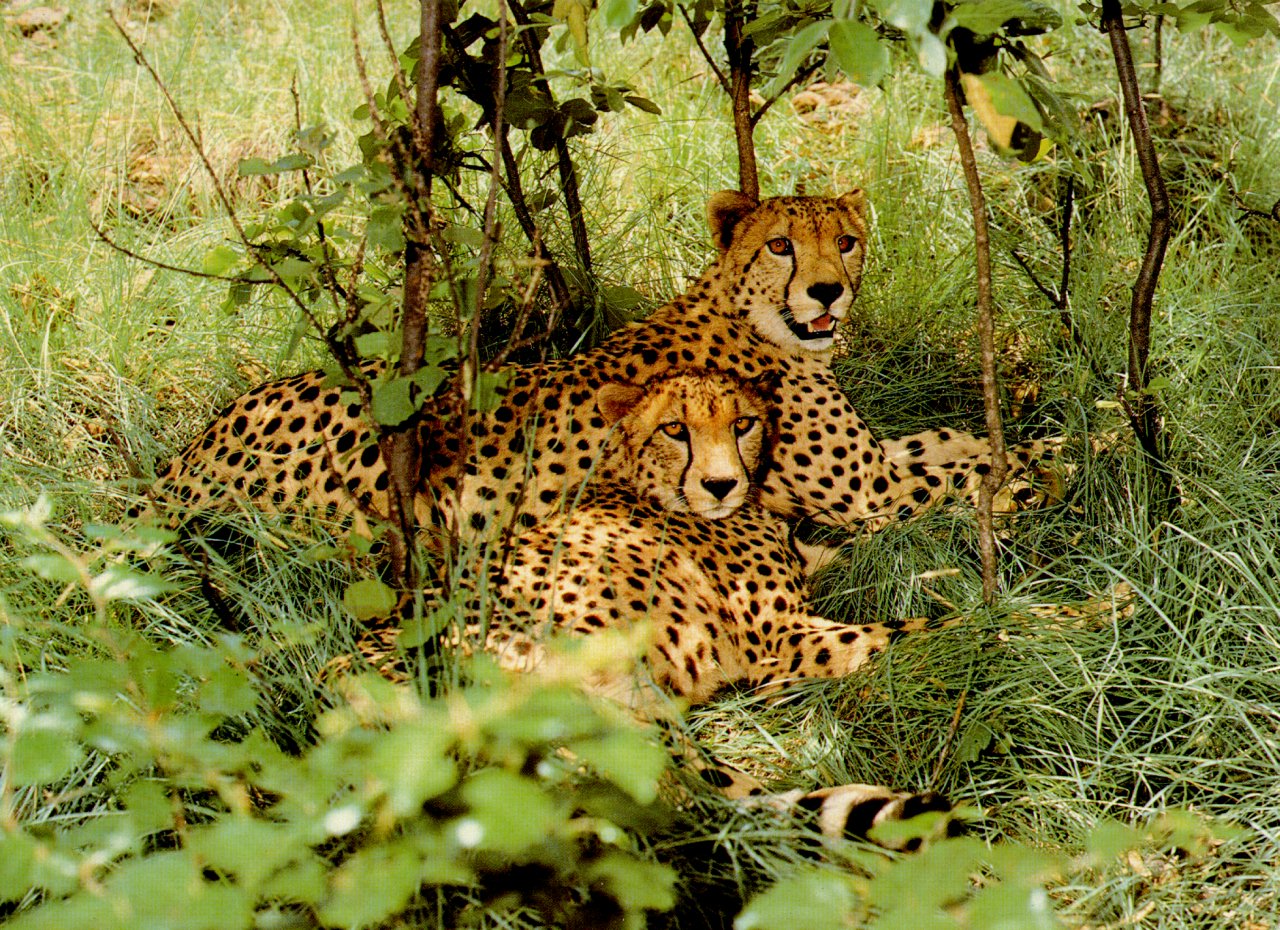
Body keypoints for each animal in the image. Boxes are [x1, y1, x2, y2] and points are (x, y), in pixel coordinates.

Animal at [137, 189, 1056, 545]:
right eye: (782, 246)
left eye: (848, 240)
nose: (828, 290)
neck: (752, 317)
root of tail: (184, 457)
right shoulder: (865, 496)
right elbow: (973, 467)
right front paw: (1062, 464)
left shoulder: (873, 464)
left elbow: (957, 439)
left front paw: (1043, 439)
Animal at [354, 370, 957, 845]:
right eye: (675, 429)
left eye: (743, 424)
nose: (721, 484)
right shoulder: (781, 644)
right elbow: (914, 628)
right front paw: (980, 631)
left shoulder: (814, 567)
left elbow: (894, 553)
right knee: (702, 802)